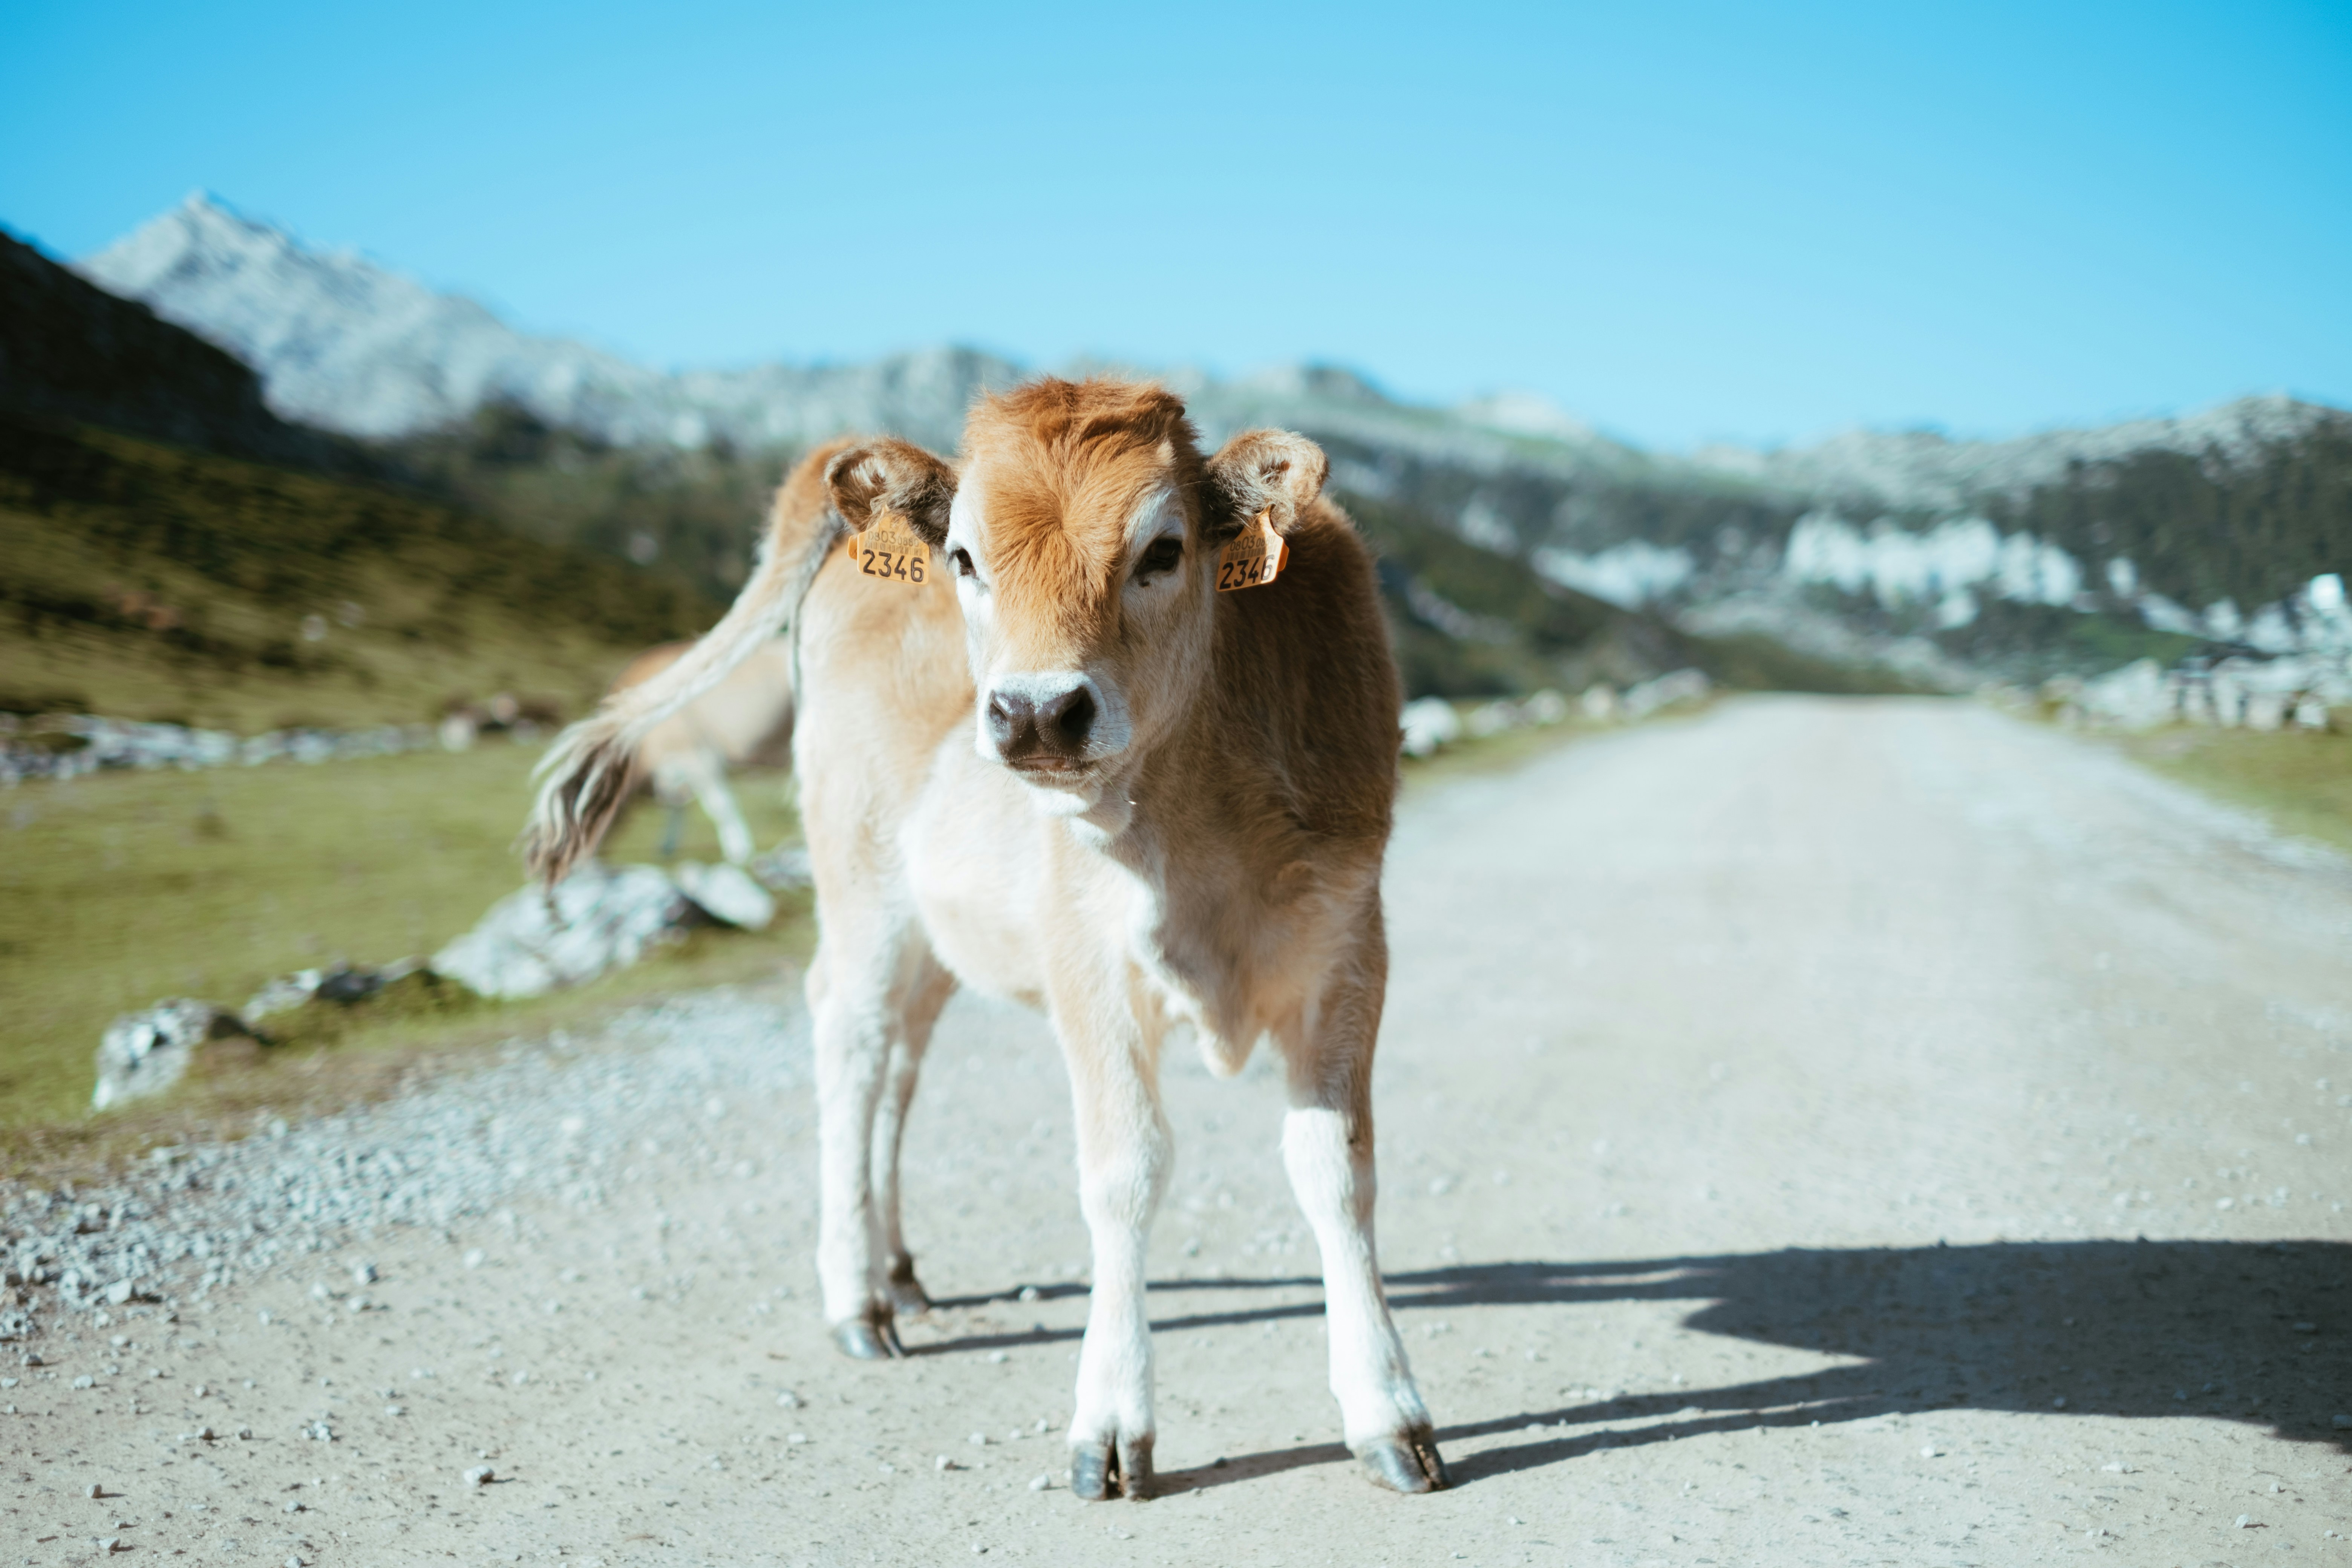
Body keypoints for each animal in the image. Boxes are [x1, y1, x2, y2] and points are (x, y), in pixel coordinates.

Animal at [524, 378, 1446, 1501]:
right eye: (965, 558)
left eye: (1164, 548)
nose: (1038, 712)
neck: (1200, 832)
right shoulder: (1084, 957)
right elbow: (1124, 1172)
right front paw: (1111, 1424)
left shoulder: (1351, 944)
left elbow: (1337, 1169)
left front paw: (1387, 1412)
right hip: (860, 878)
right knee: (851, 1039)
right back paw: (857, 1300)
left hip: (937, 928)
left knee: (901, 1063)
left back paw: (900, 1273)